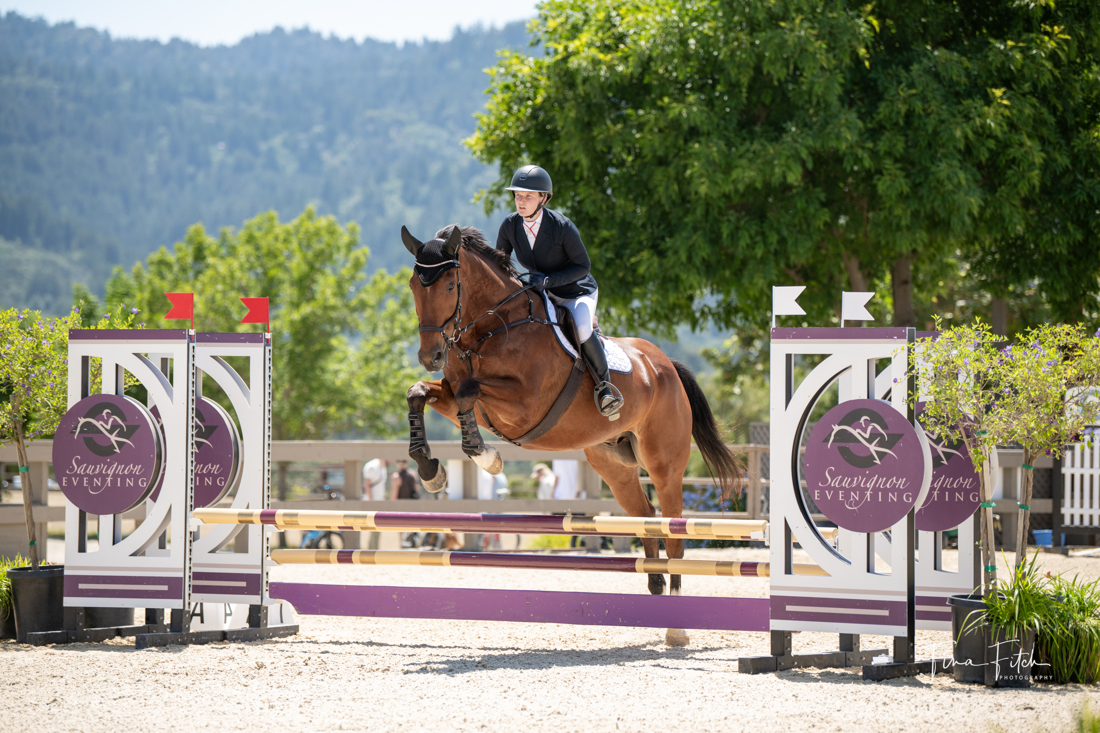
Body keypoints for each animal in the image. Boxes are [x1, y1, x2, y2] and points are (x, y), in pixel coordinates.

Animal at [399, 223, 742, 646]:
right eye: (413, 285)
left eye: (449, 285)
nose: (429, 356)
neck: (493, 327)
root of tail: (665, 367)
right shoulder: (455, 397)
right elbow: (420, 392)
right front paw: (430, 470)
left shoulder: (524, 404)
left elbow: (469, 391)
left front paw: (486, 457)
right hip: (613, 465)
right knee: (645, 516)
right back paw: (655, 586)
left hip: (664, 465)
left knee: (674, 533)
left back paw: (676, 626)